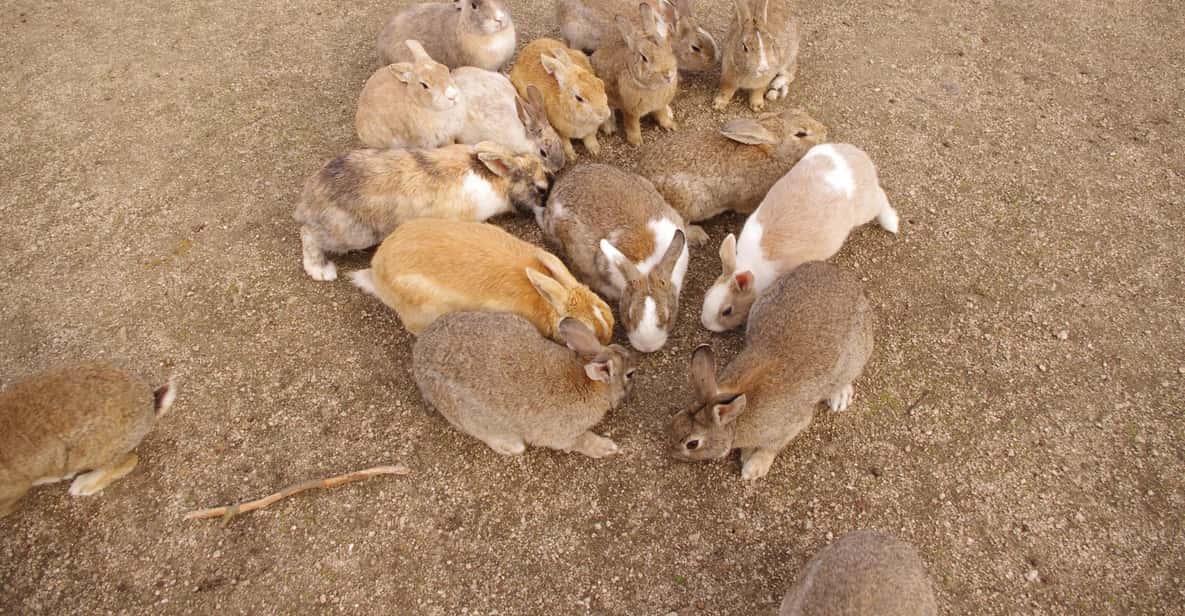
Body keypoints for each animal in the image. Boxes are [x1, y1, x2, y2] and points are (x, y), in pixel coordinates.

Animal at [293, 141, 549, 281]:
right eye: (540, 188)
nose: (544, 207)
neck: (496, 181)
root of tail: (308, 201)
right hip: (353, 234)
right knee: (308, 235)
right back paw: (321, 270)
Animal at [413, 311, 637, 457]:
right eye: (630, 374)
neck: (590, 383)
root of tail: (417, 361)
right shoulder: (565, 435)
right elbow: (581, 441)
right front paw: (607, 448)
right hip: (469, 416)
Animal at [590, 4, 680, 146]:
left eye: (668, 48)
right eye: (644, 58)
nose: (668, 73)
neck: (652, 88)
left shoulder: (659, 106)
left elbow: (662, 115)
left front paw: (670, 126)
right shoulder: (630, 111)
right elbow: (632, 125)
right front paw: (636, 142)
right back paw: (609, 129)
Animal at [670, 262, 873, 480]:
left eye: (692, 444)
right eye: (677, 416)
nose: (670, 450)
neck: (735, 421)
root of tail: (850, 282)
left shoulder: (791, 425)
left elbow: (771, 448)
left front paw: (753, 469)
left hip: (855, 356)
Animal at [700, 143, 898, 332]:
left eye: (727, 311)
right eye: (707, 294)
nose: (706, 324)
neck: (752, 267)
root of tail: (862, 158)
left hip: (865, 209)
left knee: (881, 198)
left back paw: (892, 223)